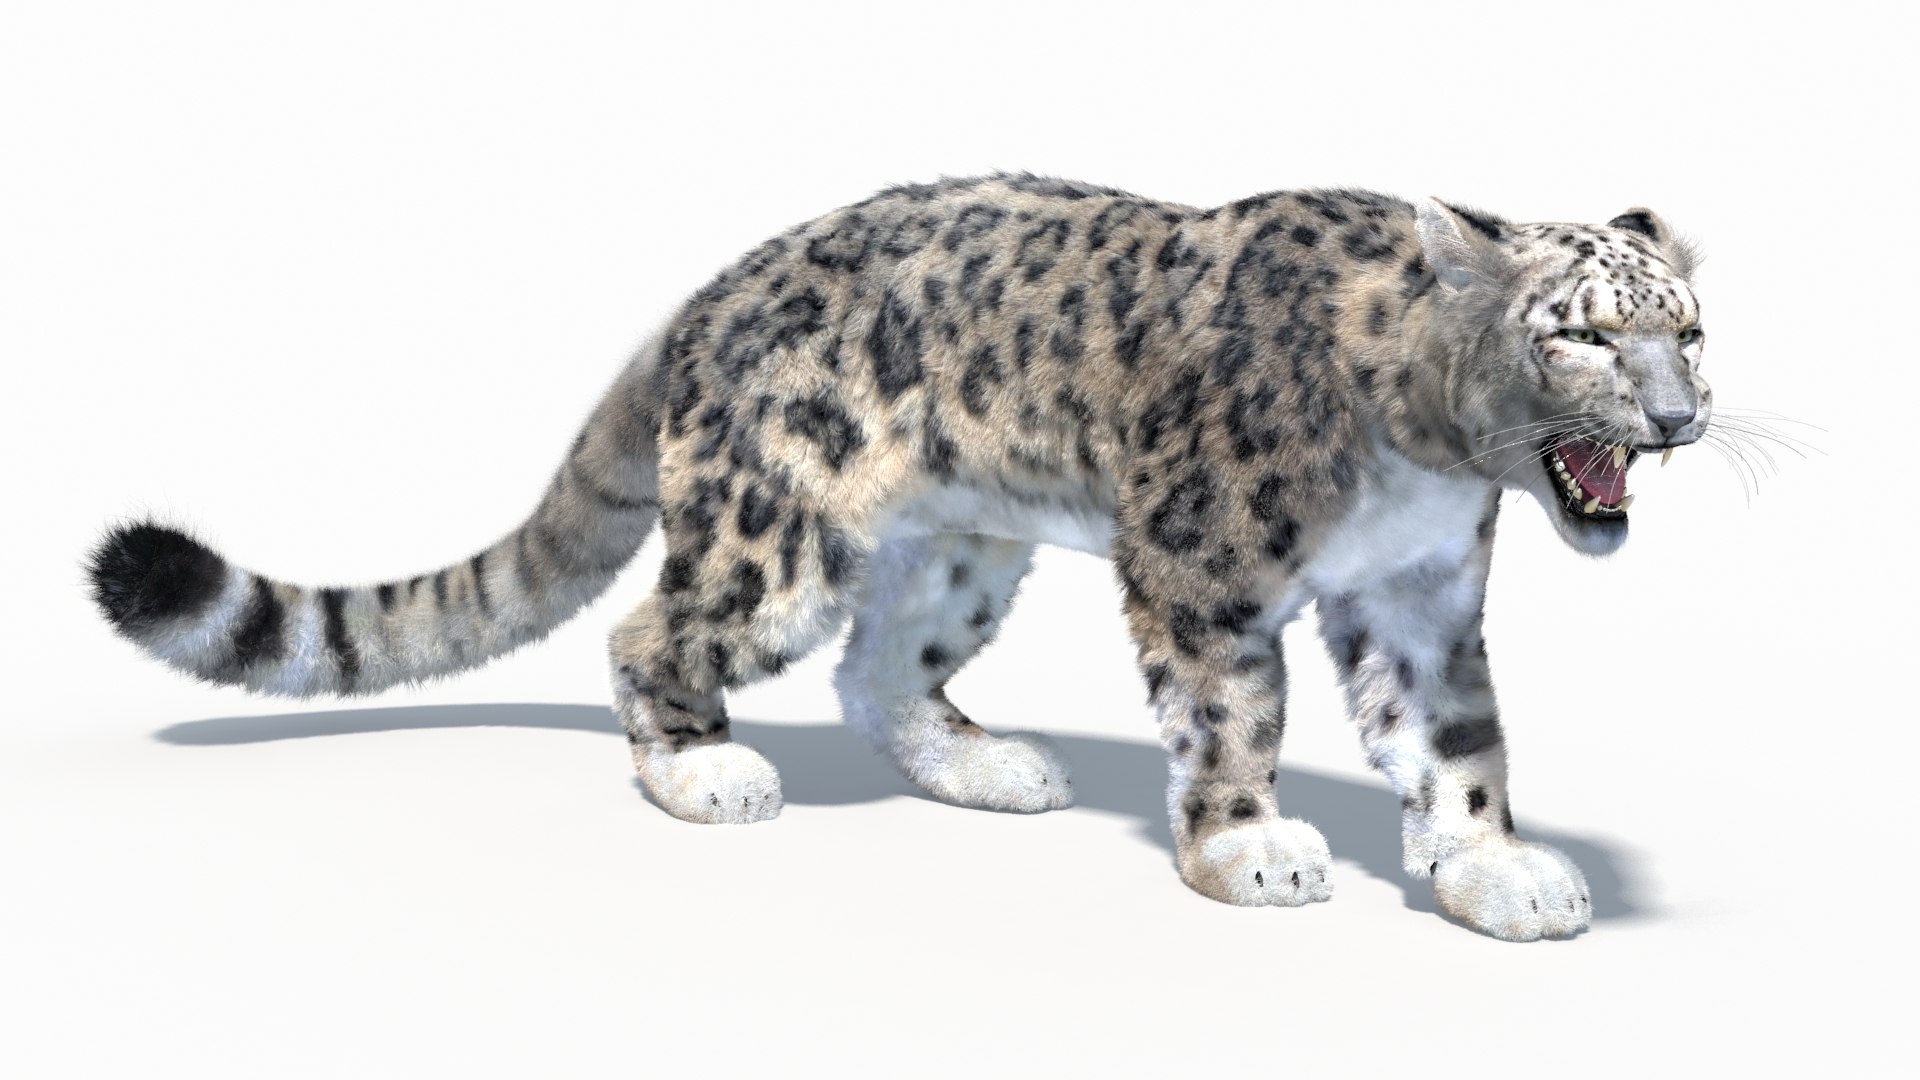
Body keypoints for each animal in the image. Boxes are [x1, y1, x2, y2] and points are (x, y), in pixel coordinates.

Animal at [87, 173, 1709, 941]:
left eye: (1688, 328)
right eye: (1581, 332)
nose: (1681, 417)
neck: (1428, 455)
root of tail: (706, 293)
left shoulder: (1419, 596)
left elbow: (1458, 742)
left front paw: (1497, 869)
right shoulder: (1204, 564)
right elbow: (1233, 715)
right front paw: (1248, 847)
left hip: (959, 551)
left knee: (879, 673)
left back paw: (987, 764)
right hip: (776, 537)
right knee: (653, 634)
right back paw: (703, 772)